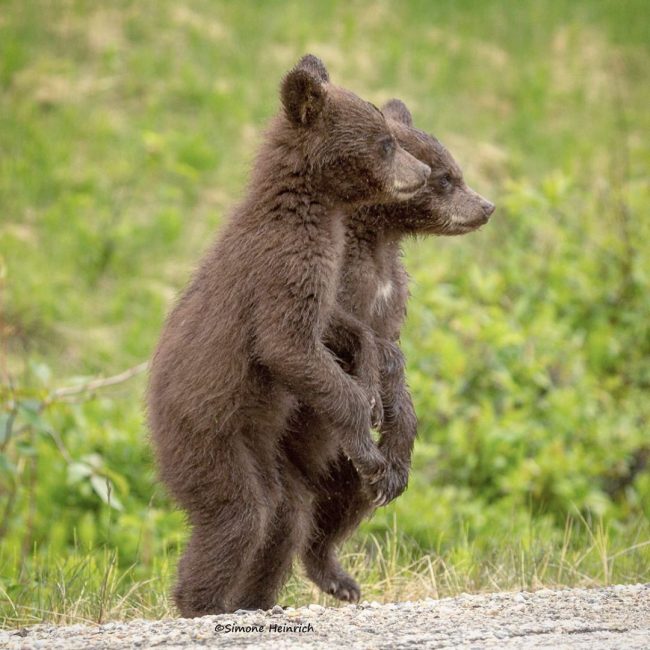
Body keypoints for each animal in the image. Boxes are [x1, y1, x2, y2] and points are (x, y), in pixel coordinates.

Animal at [146, 56, 431, 617]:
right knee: (238, 514)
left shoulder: (325, 270)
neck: (311, 208)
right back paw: (203, 603)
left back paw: (262, 596)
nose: (425, 172)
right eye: (387, 142)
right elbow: (288, 345)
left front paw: (374, 391)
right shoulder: (286, 263)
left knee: (285, 513)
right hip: (209, 434)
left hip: (261, 439)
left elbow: (339, 327)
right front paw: (371, 455)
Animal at [281, 98, 496, 602]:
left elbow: (396, 360)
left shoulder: (393, 291)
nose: (486, 206)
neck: (377, 241)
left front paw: (401, 439)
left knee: (347, 505)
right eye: (447, 178)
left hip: (346, 470)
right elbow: (348, 340)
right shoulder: (336, 282)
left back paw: (336, 573)